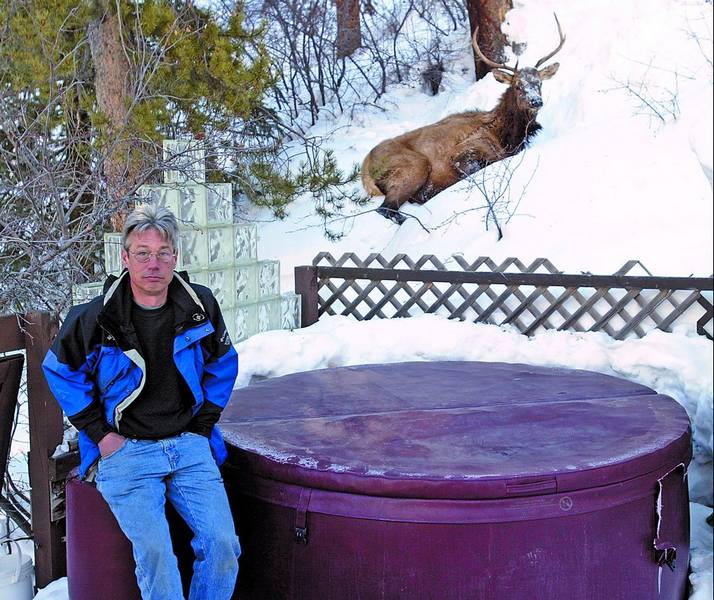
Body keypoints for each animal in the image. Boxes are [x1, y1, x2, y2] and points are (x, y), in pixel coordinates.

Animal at [361, 15, 565, 225]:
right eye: (518, 86)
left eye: (538, 83)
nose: (536, 101)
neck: (507, 136)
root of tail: (364, 169)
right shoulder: (467, 149)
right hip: (413, 165)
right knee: (386, 208)